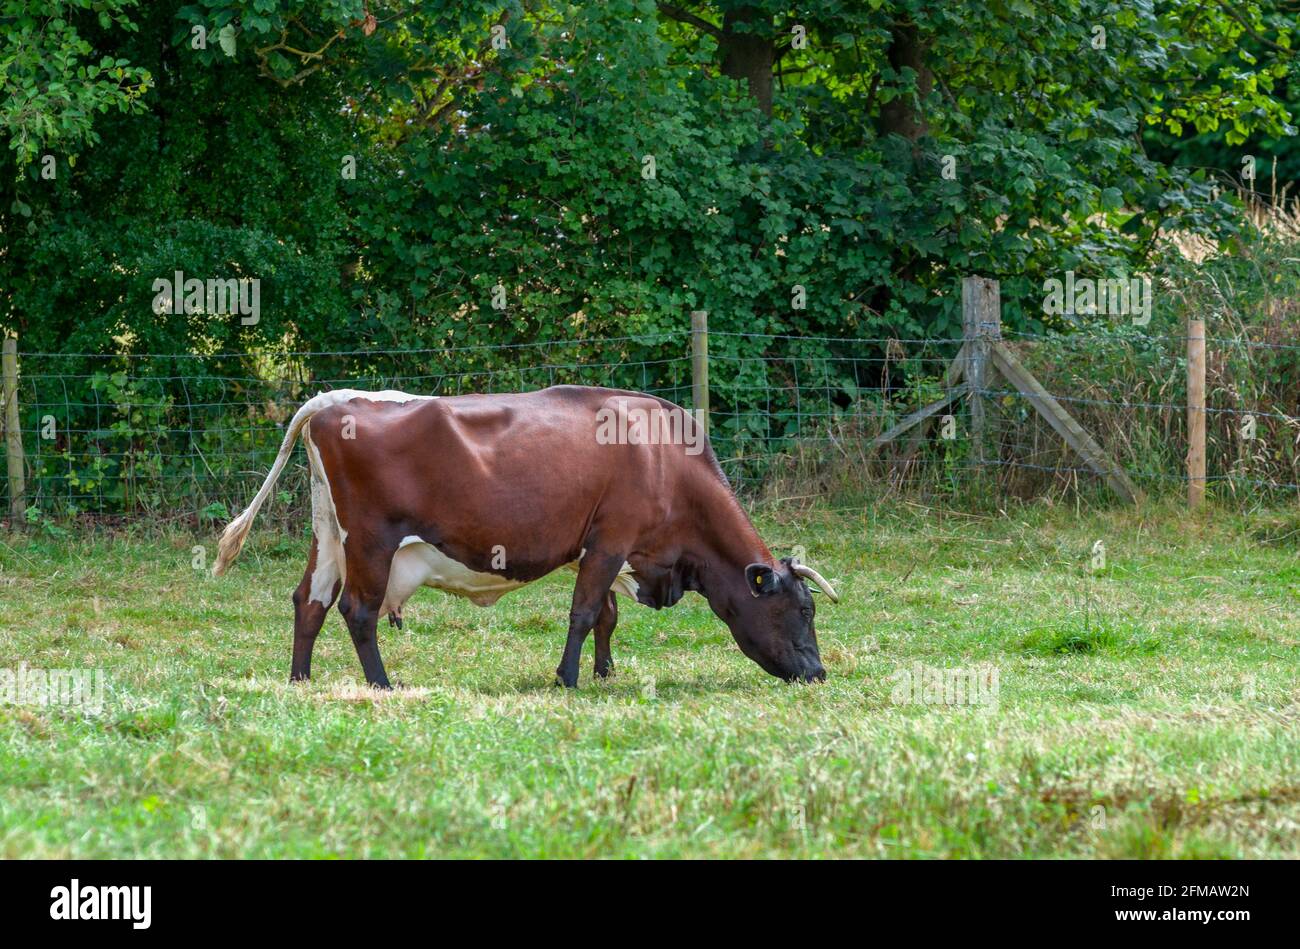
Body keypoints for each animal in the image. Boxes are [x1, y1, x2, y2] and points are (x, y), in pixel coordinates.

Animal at [212, 386, 839, 688]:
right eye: (802, 611)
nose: (818, 673)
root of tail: (332, 400)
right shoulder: (611, 540)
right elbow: (584, 613)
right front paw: (568, 679)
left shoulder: (596, 549)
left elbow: (606, 615)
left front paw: (604, 672)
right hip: (370, 541)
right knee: (357, 611)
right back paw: (382, 685)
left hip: (328, 534)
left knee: (310, 601)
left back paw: (300, 680)